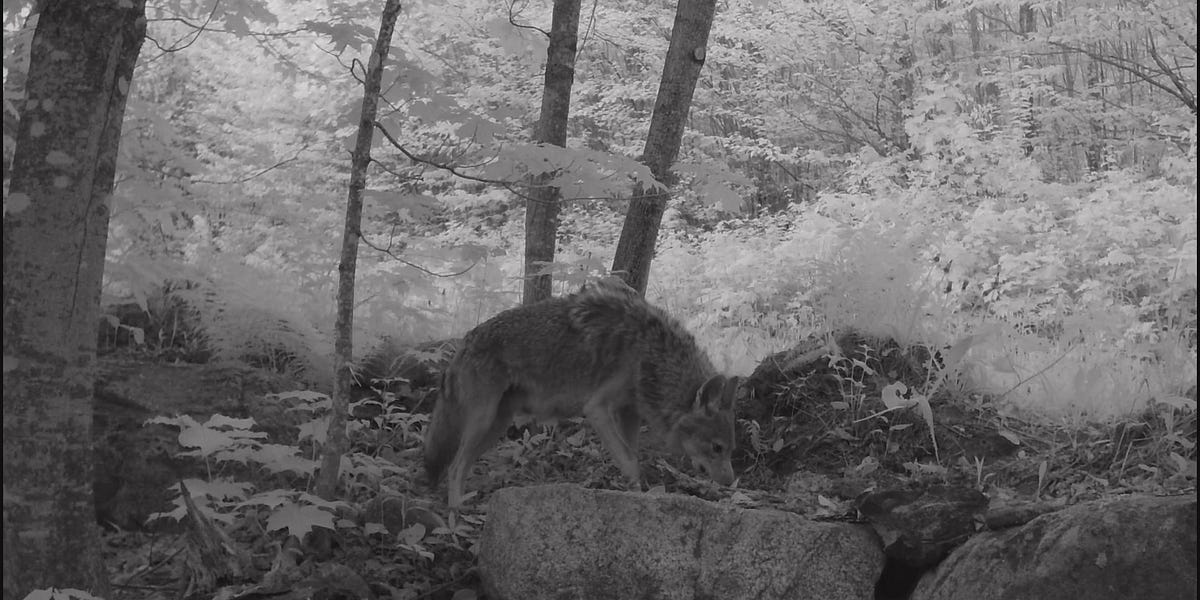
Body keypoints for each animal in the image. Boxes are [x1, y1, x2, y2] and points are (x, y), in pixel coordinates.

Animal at [423, 278, 740, 508]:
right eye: (717, 448)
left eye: (728, 449)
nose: (730, 481)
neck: (650, 352)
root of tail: (462, 344)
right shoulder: (597, 409)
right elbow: (630, 460)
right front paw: (639, 497)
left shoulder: (629, 413)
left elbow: (632, 456)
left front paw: (637, 492)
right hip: (483, 421)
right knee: (454, 467)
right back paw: (456, 514)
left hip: (496, 425)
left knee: (460, 466)